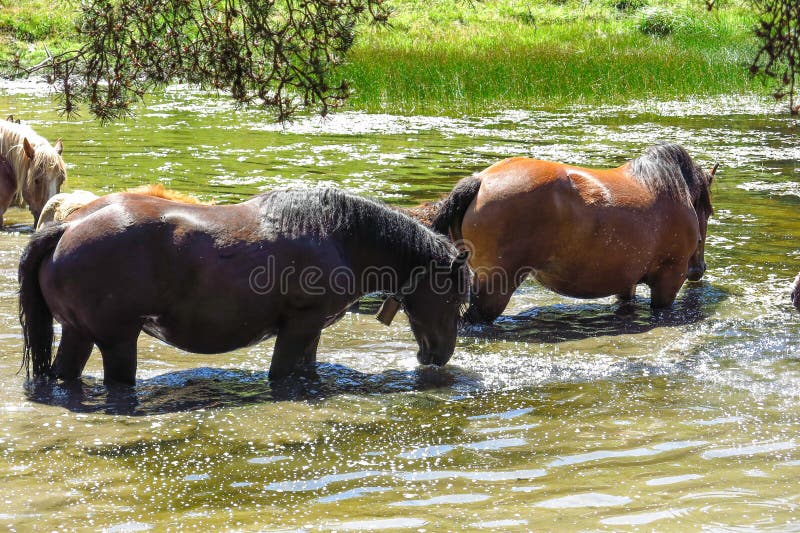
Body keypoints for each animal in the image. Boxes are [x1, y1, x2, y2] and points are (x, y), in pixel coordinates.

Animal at [429, 142, 716, 323]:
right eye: (708, 211)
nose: (698, 269)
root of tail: (480, 181)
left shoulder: (626, 282)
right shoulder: (668, 280)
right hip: (496, 287)